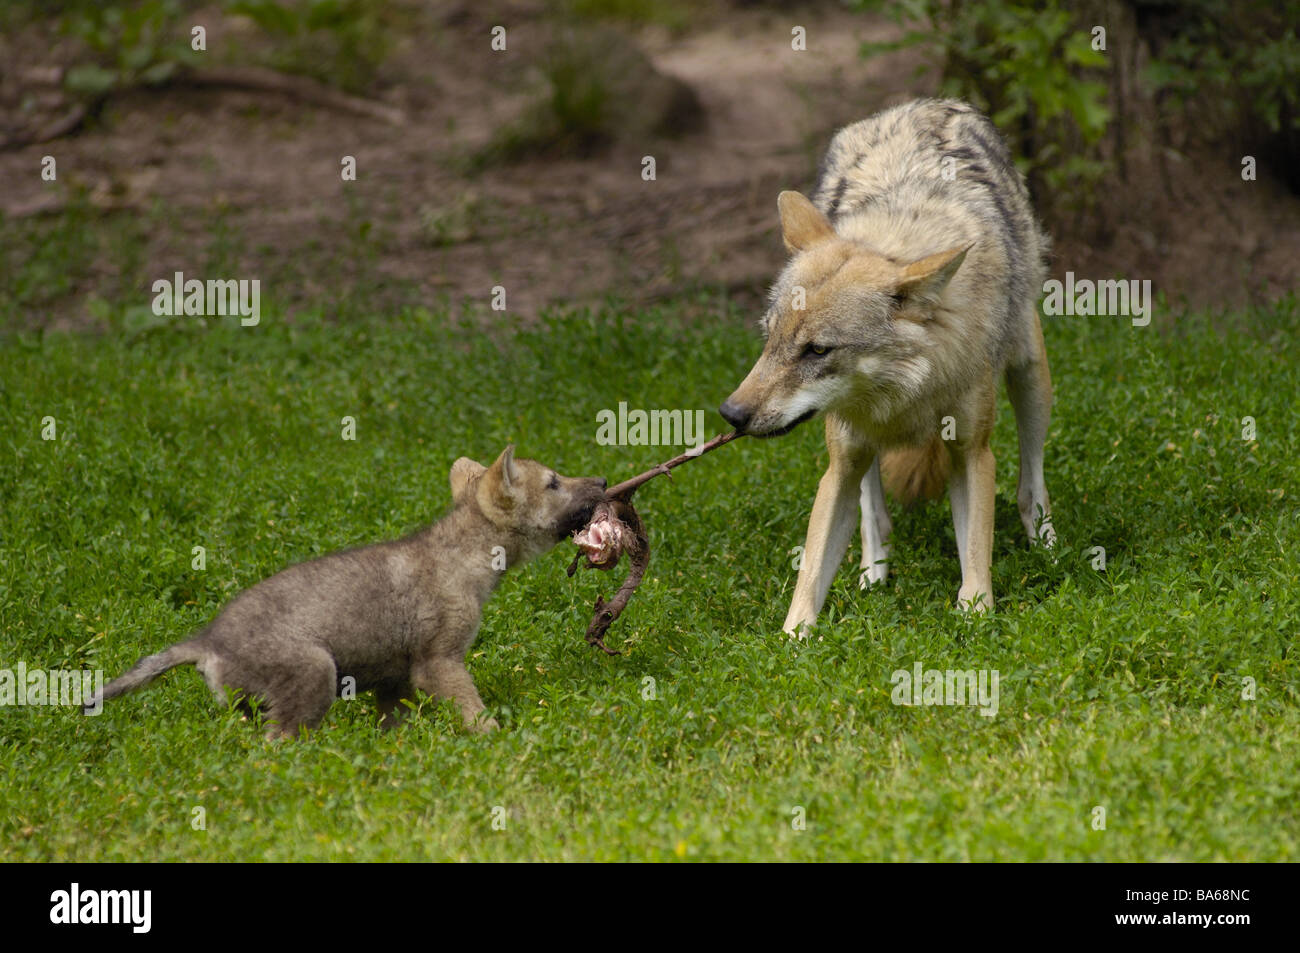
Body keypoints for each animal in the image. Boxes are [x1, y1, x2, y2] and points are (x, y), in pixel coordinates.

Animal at [86, 447, 606, 737]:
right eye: (553, 482)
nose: (603, 480)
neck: (464, 559)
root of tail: (205, 641)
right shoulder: (439, 662)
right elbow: (475, 714)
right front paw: (495, 741)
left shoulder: (396, 680)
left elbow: (392, 728)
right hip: (316, 673)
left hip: (248, 706)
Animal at [719, 98, 1055, 634]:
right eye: (771, 338)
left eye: (817, 351)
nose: (731, 415)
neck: (903, 393)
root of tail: (927, 104)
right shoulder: (839, 467)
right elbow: (809, 577)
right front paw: (793, 639)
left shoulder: (973, 454)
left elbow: (975, 557)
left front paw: (976, 619)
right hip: (857, 452)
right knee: (874, 518)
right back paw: (872, 579)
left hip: (1030, 377)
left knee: (1031, 485)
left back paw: (1048, 549)